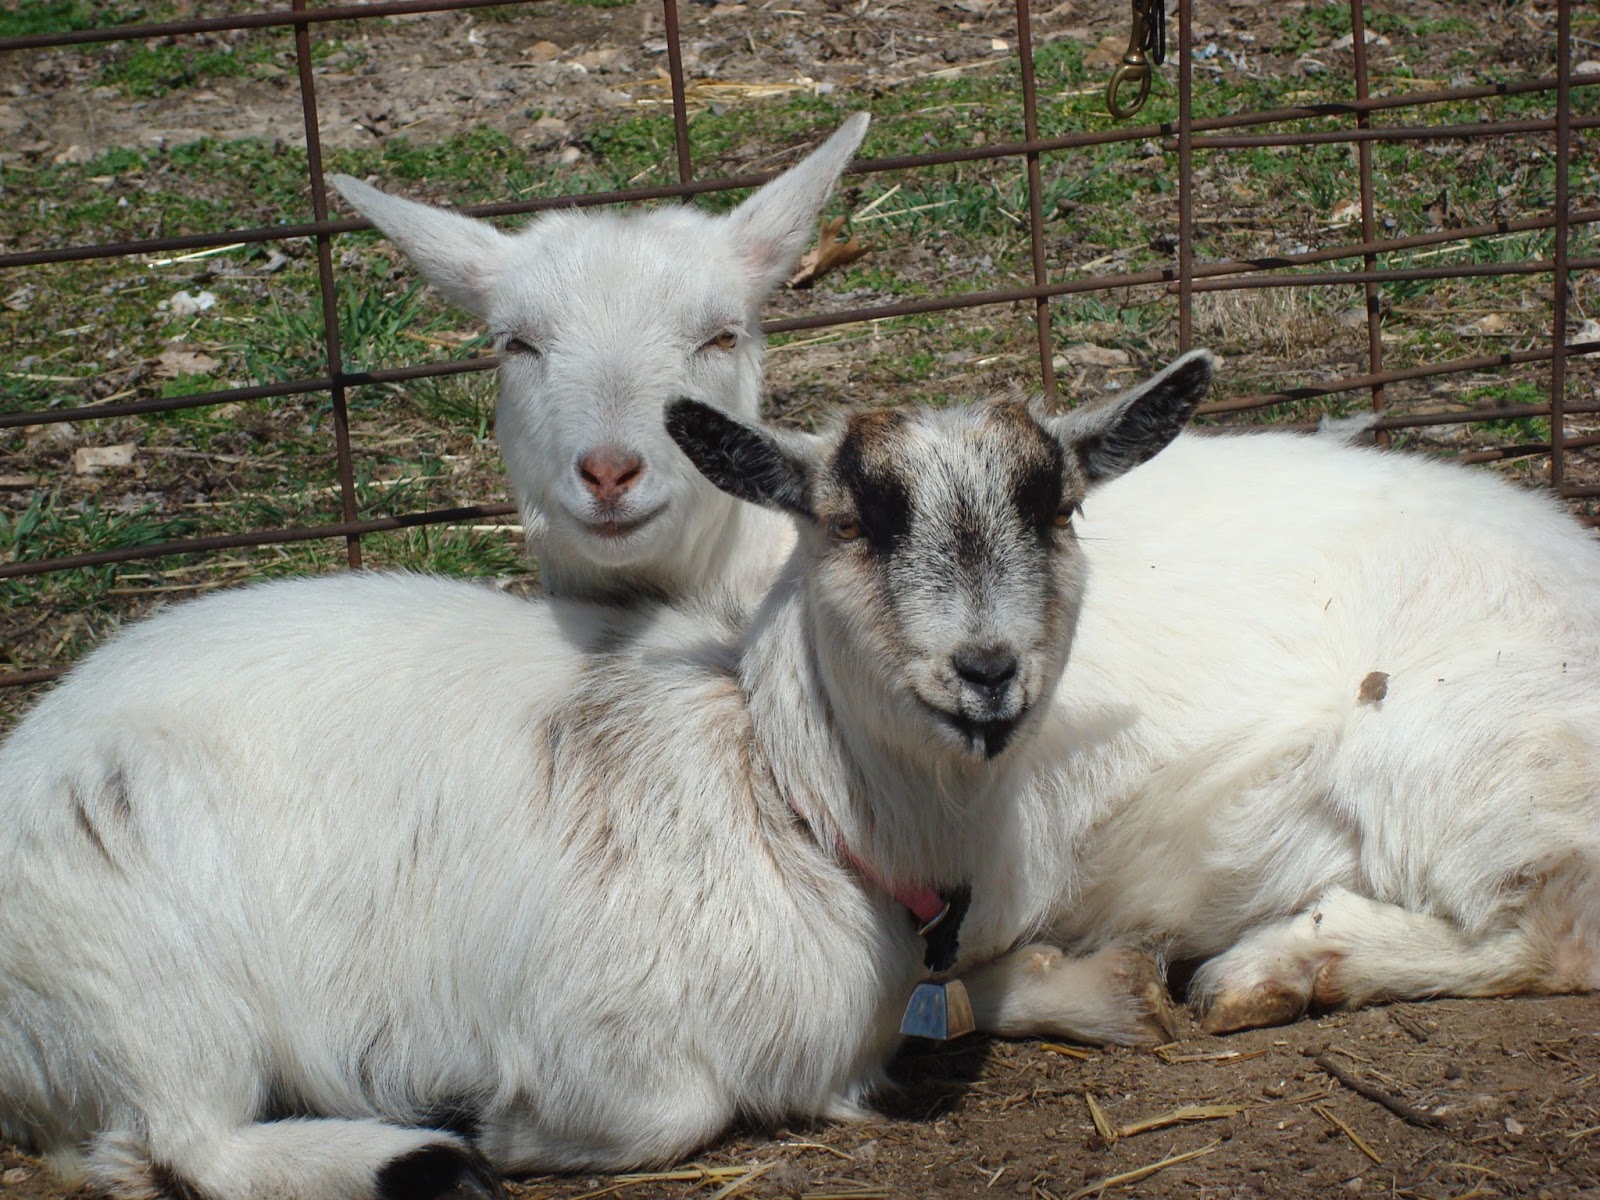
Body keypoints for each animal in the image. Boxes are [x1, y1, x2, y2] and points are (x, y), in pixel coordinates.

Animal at [0, 357, 1210, 1199]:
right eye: (855, 520)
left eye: (1057, 508)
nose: (987, 672)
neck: (780, 797)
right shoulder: (601, 1035)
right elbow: (669, 1112)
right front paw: (497, 1123)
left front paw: (1103, 990)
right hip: (154, 982)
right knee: (188, 1142)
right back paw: (432, 1154)